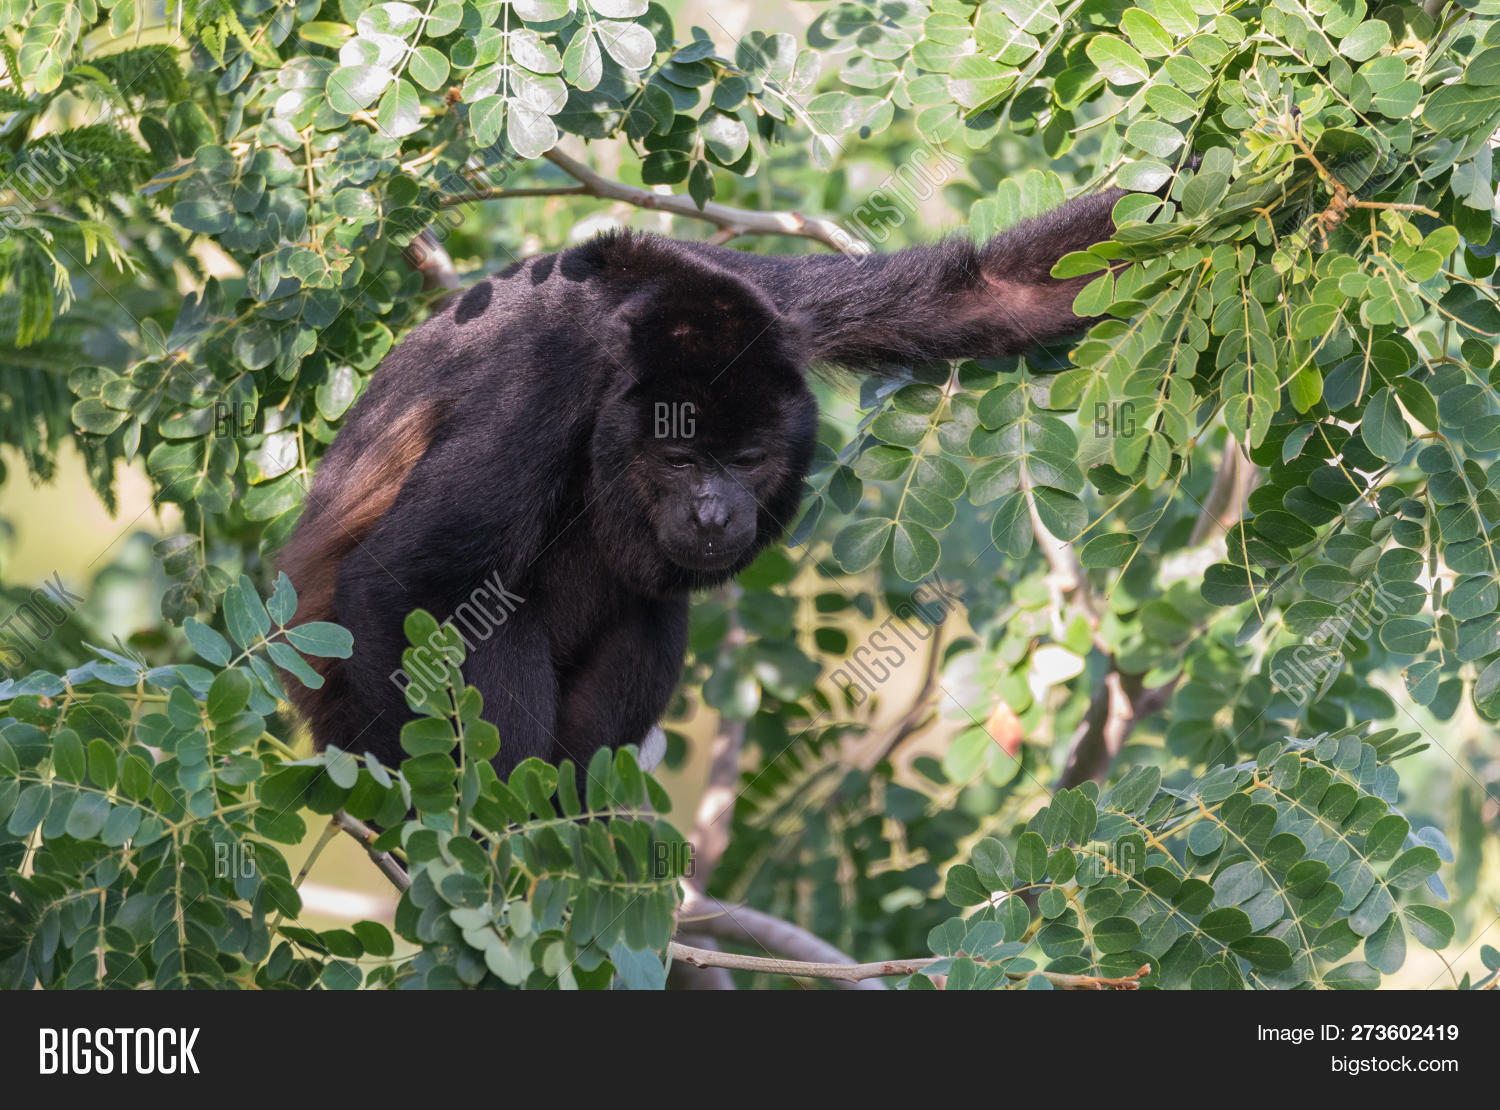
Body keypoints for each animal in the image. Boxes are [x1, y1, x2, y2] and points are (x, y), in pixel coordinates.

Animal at [275, 186, 1134, 782]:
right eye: (680, 460)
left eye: (748, 459)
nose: (717, 514)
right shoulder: (542, 380)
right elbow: (412, 578)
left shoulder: (771, 306)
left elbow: (989, 291)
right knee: (492, 617)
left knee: (651, 607)